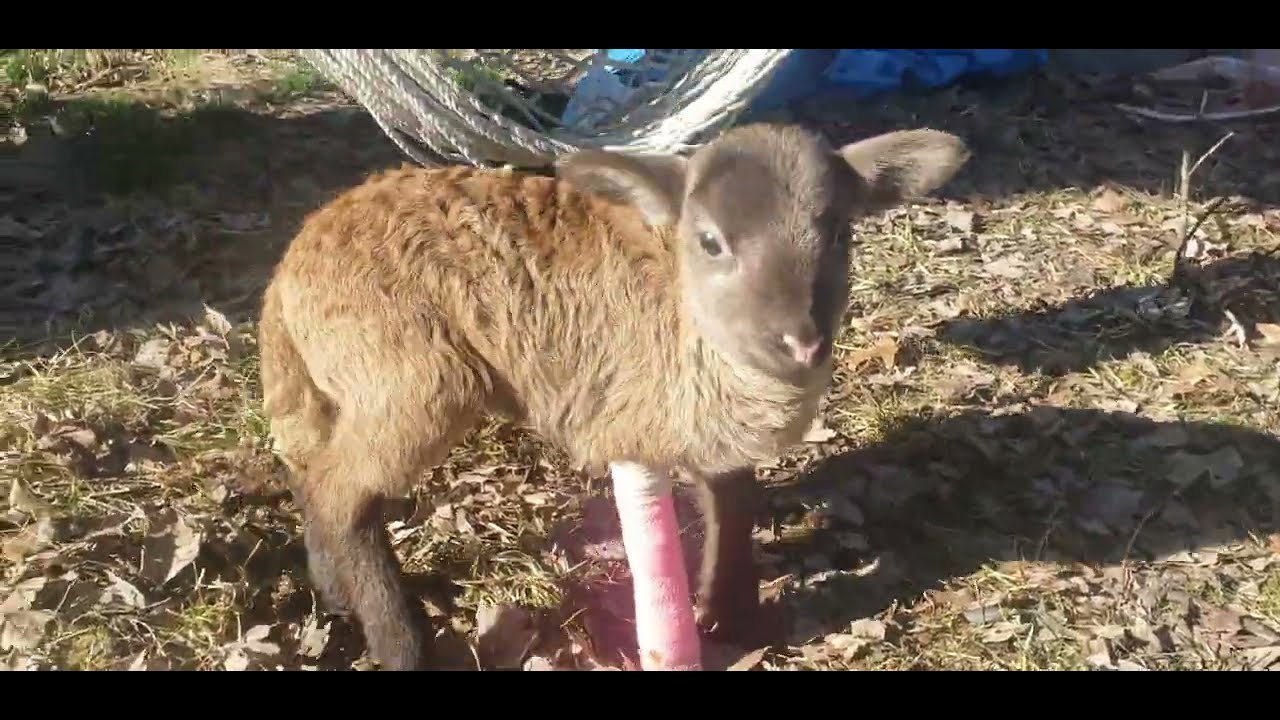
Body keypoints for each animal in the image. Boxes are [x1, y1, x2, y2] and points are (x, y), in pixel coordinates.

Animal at [258, 121, 970, 671]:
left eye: (843, 234)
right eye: (710, 240)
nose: (802, 341)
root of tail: (292, 262)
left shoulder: (705, 426)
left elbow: (734, 499)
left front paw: (731, 613)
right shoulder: (644, 418)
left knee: (311, 471)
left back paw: (336, 595)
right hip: (409, 378)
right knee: (342, 492)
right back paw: (401, 645)